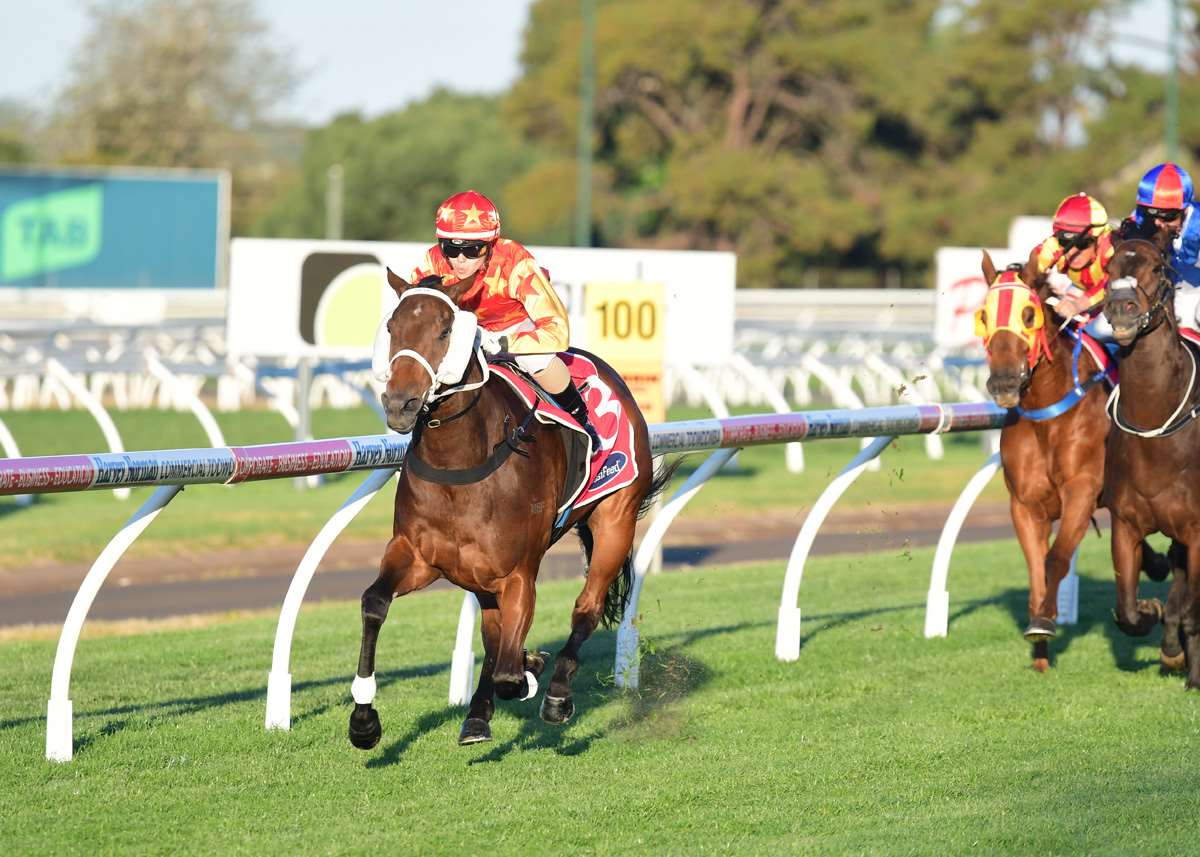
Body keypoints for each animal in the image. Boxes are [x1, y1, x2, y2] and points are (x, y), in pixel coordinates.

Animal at [348, 270, 673, 748]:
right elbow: (374, 603)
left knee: (586, 608)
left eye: (445, 331)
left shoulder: (519, 573)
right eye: (392, 328)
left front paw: (532, 670)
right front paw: (364, 720)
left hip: (616, 521)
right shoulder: (418, 556)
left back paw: (555, 694)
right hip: (480, 575)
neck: (459, 464)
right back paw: (478, 716)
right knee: (492, 632)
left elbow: (509, 672)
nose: (400, 403)